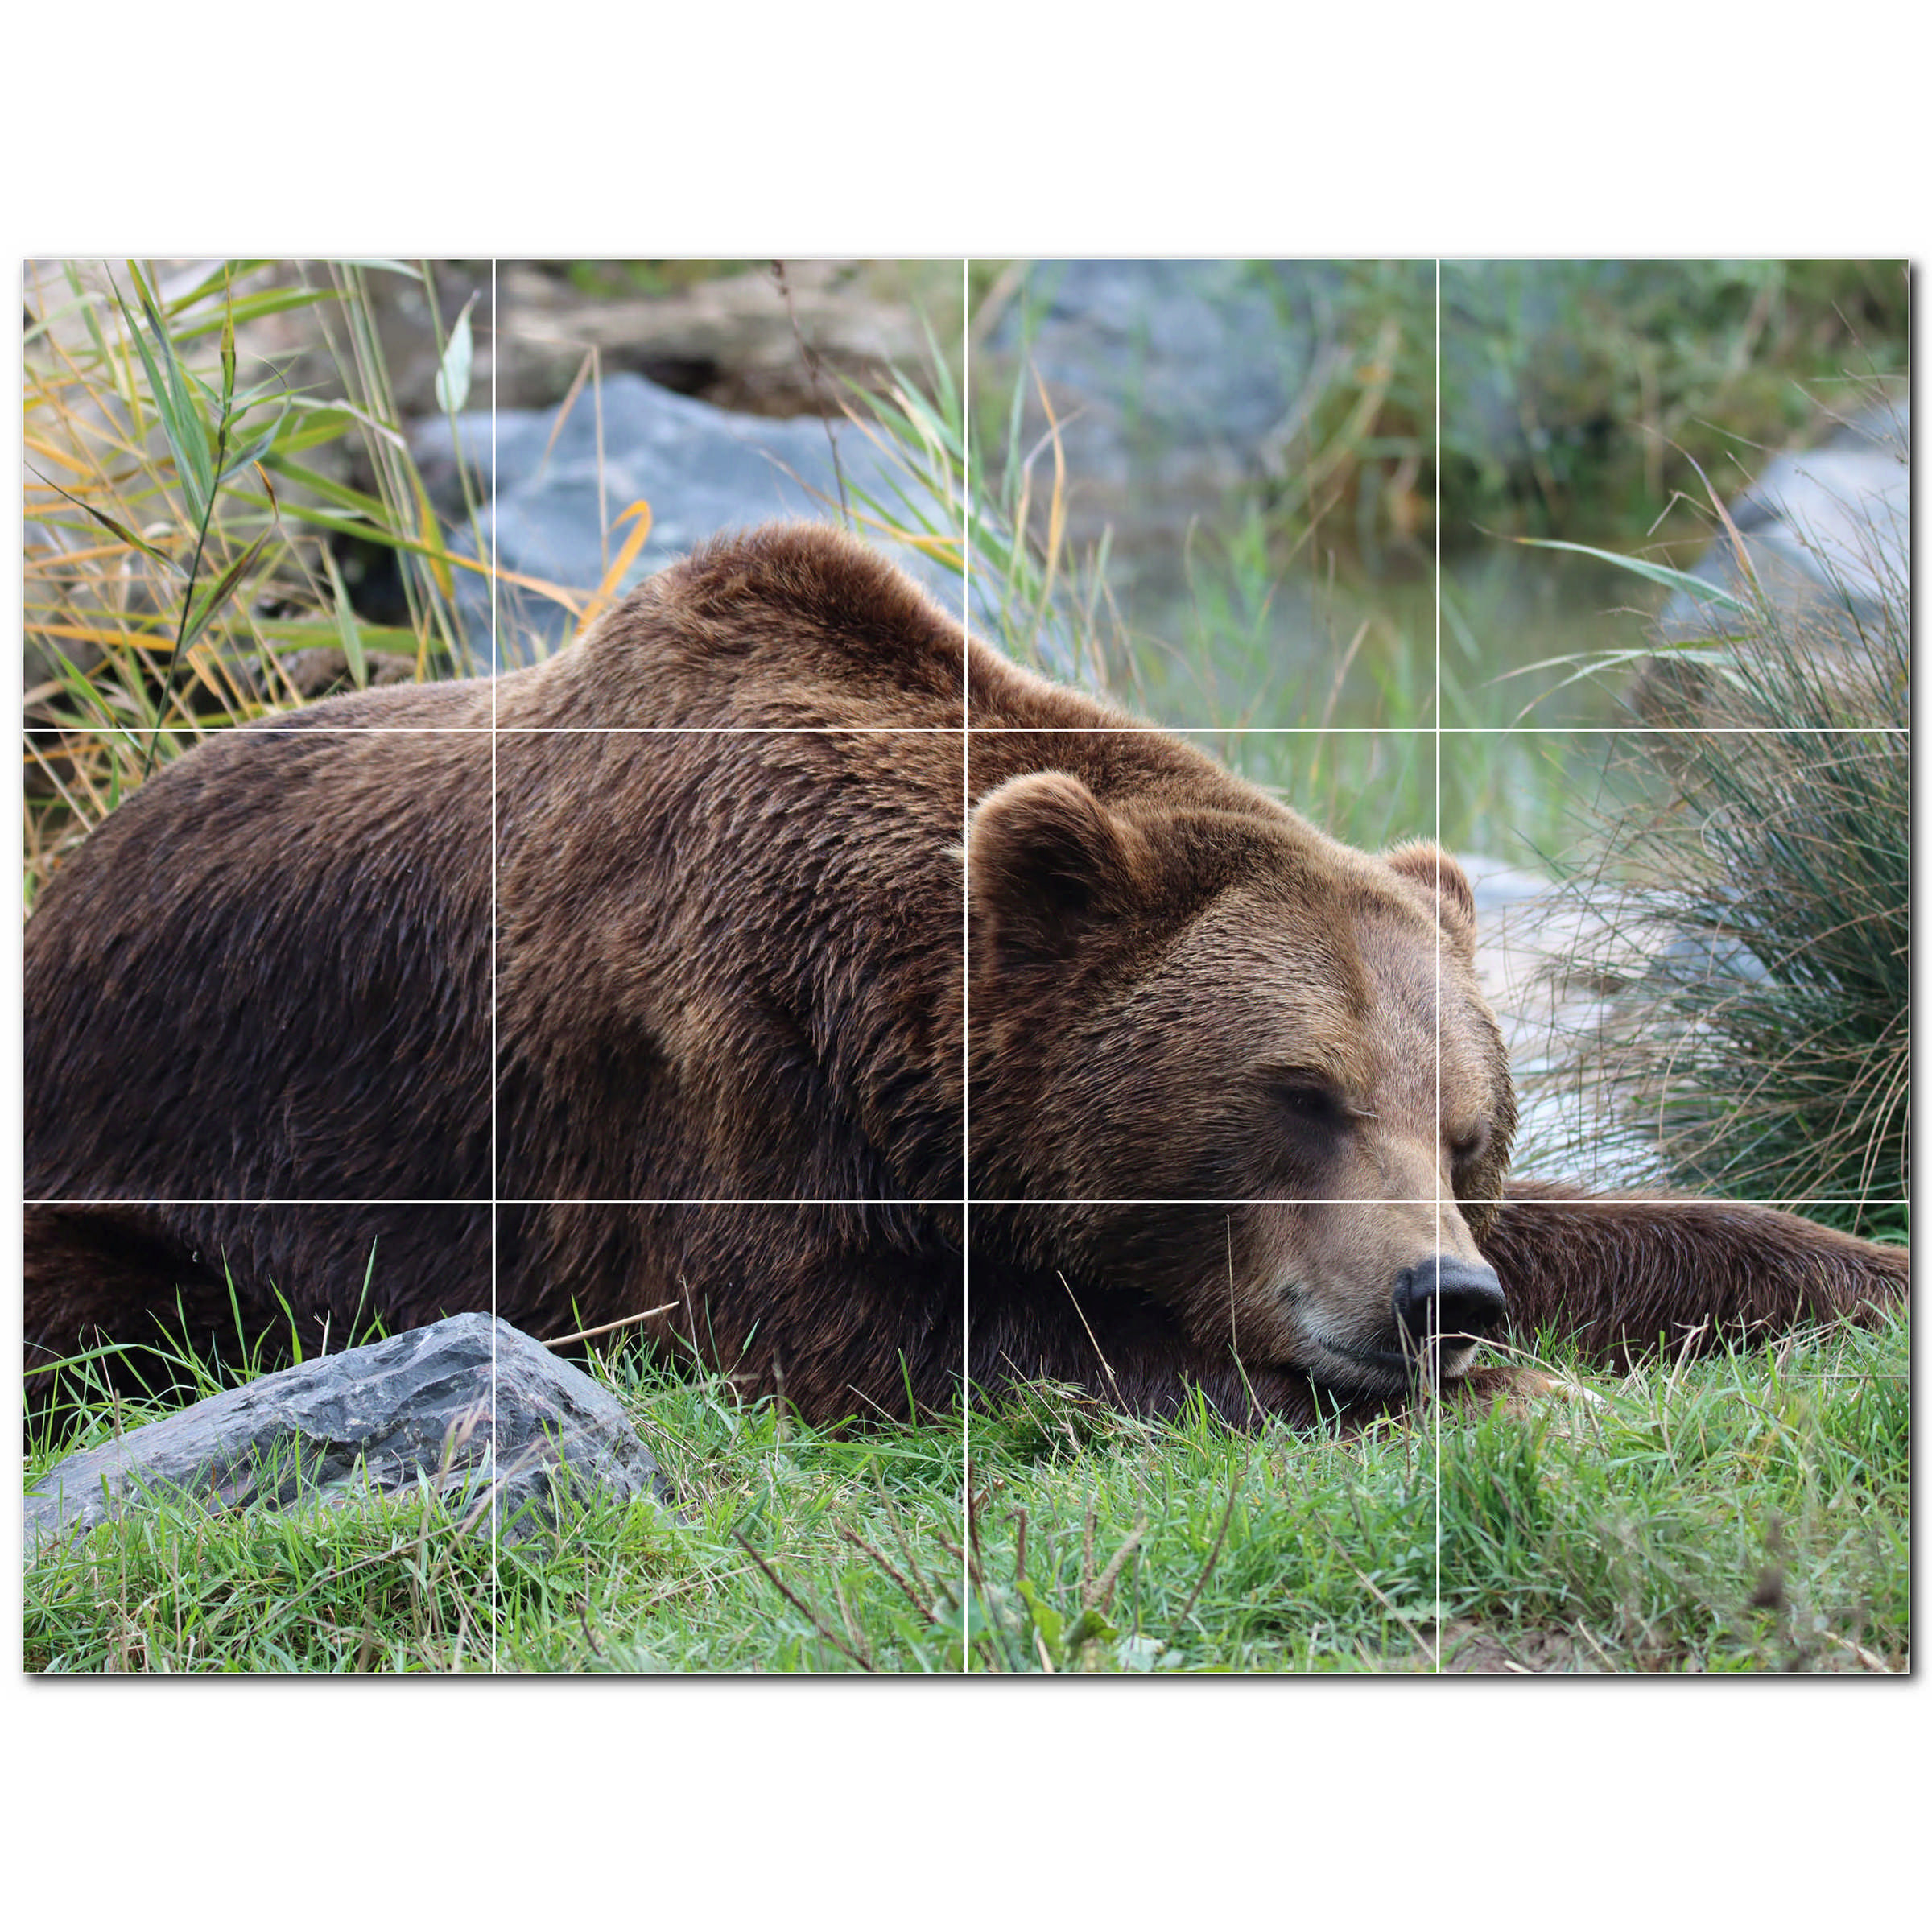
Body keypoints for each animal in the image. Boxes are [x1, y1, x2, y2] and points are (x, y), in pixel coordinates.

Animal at [23, 524, 1907, 1432]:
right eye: (1298, 1092)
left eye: (1466, 1129)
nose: (1437, 1302)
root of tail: (77, 862)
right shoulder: (689, 1086)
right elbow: (909, 1331)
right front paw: (1520, 1395)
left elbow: (1634, 1238)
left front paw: (1857, 1272)